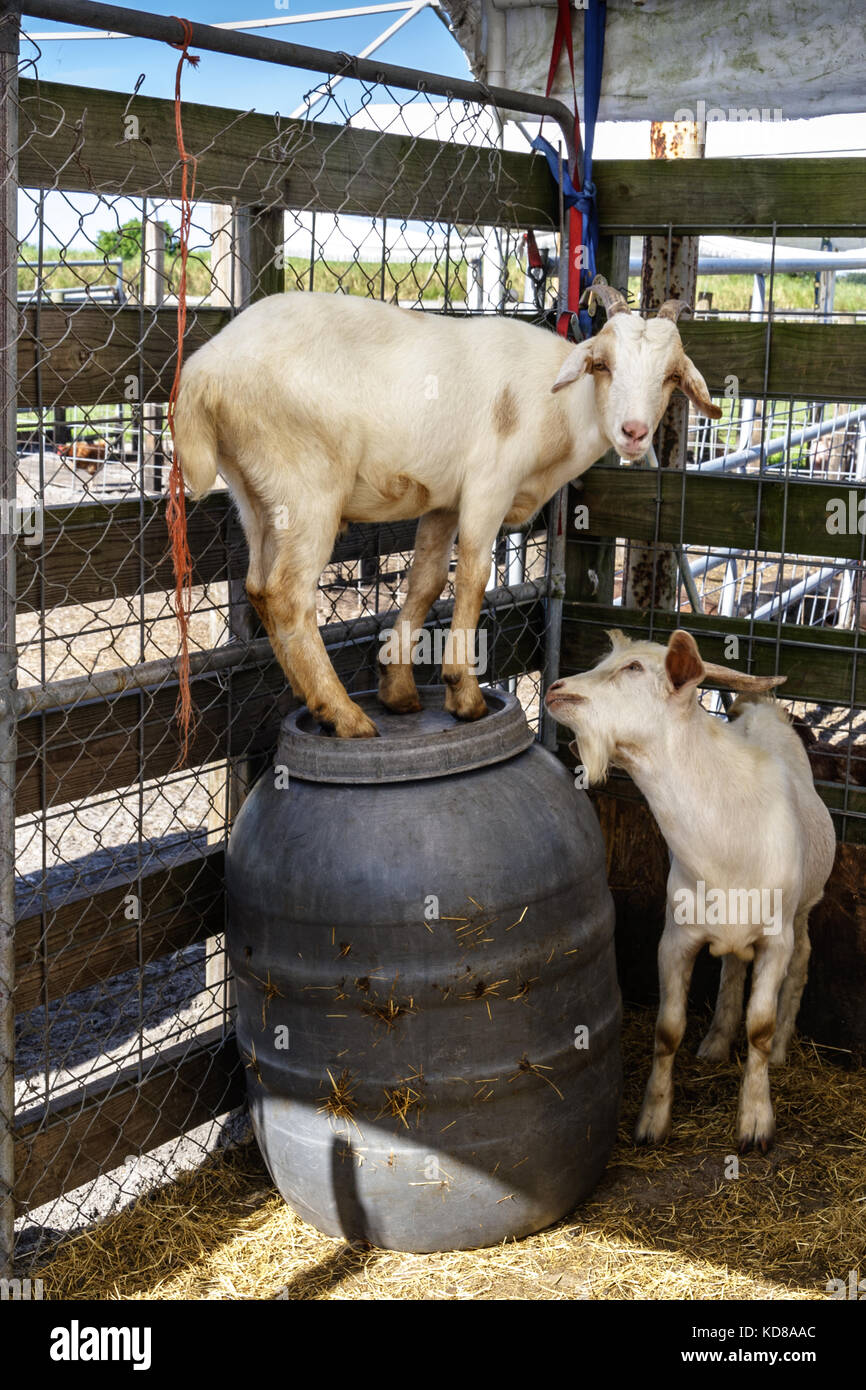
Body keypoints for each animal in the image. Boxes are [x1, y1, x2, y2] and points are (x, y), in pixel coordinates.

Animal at [174, 282, 721, 738]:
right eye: (603, 364)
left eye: (671, 376)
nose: (634, 432)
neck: (562, 406)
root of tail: (203, 373)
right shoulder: (489, 485)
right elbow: (475, 573)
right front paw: (466, 695)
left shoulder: (444, 501)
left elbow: (428, 579)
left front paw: (398, 690)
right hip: (307, 487)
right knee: (288, 594)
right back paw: (344, 715)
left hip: (256, 495)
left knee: (258, 588)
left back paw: (314, 699)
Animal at [545, 629, 836, 1152]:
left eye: (634, 668)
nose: (556, 689)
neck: (726, 838)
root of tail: (766, 714)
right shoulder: (676, 937)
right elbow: (667, 1030)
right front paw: (652, 1120)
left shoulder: (776, 938)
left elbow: (759, 1028)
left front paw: (756, 1124)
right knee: (732, 969)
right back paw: (716, 1042)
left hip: (805, 907)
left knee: (802, 962)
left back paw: (783, 1050)